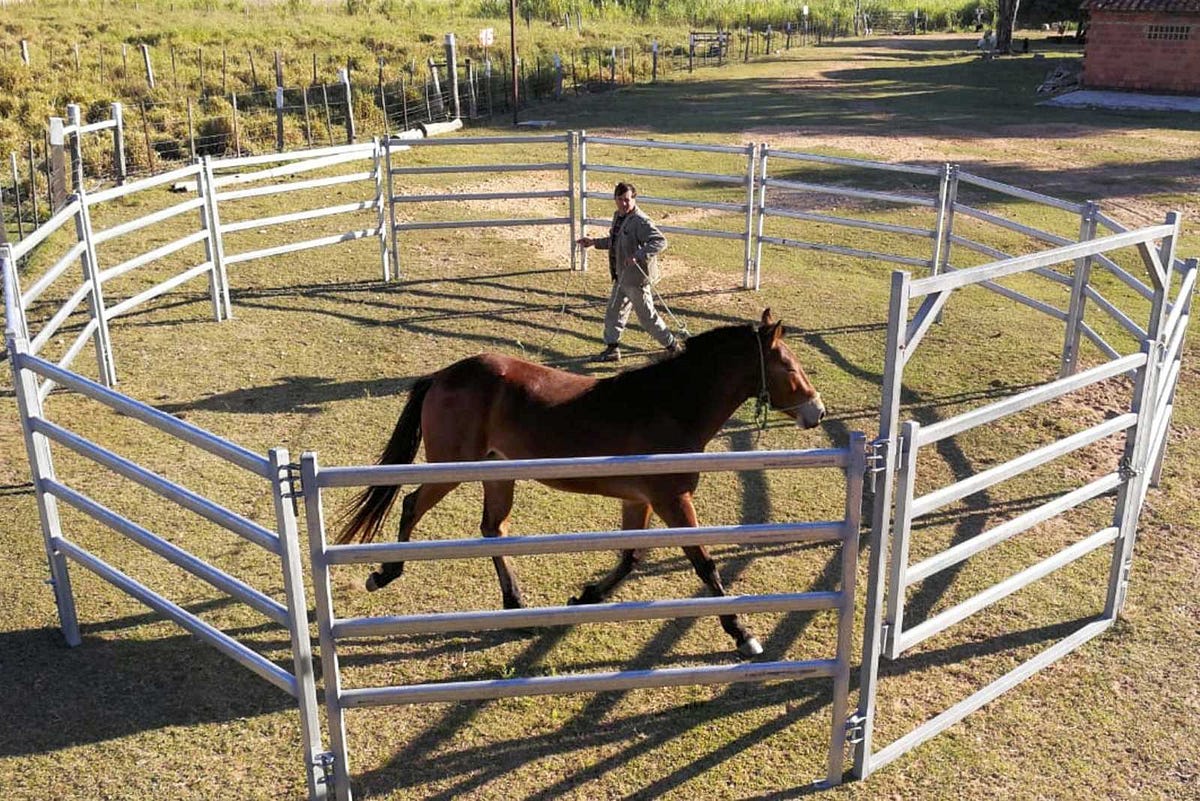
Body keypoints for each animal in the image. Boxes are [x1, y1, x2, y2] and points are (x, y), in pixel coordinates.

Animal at [337, 309, 826, 657]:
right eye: (789, 367)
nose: (817, 412)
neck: (668, 405)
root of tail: (443, 375)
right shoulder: (672, 499)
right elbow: (705, 565)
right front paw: (743, 633)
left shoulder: (641, 501)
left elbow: (630, 559)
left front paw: (584, 596)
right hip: (452, 467)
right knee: (411, 505)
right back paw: (385, 573)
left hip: (497, 474)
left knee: (492, 530)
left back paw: (516, 605)